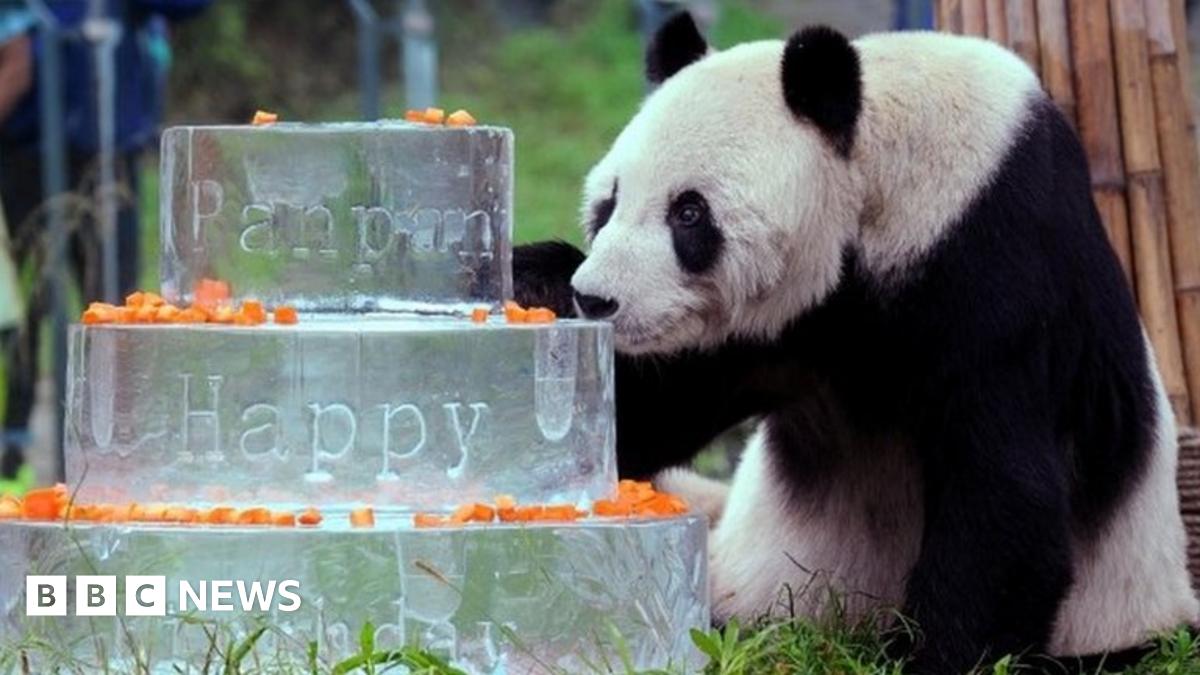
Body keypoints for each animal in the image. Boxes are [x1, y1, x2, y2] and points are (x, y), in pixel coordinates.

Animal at [513, 12, 1199, 674]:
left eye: (689, 214)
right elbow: (648, 419)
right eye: (609, 203)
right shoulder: (775, 331)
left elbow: (1004, 487)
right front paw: (536, 282)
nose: (598, 299)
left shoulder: (999, 266)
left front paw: (934, 657)